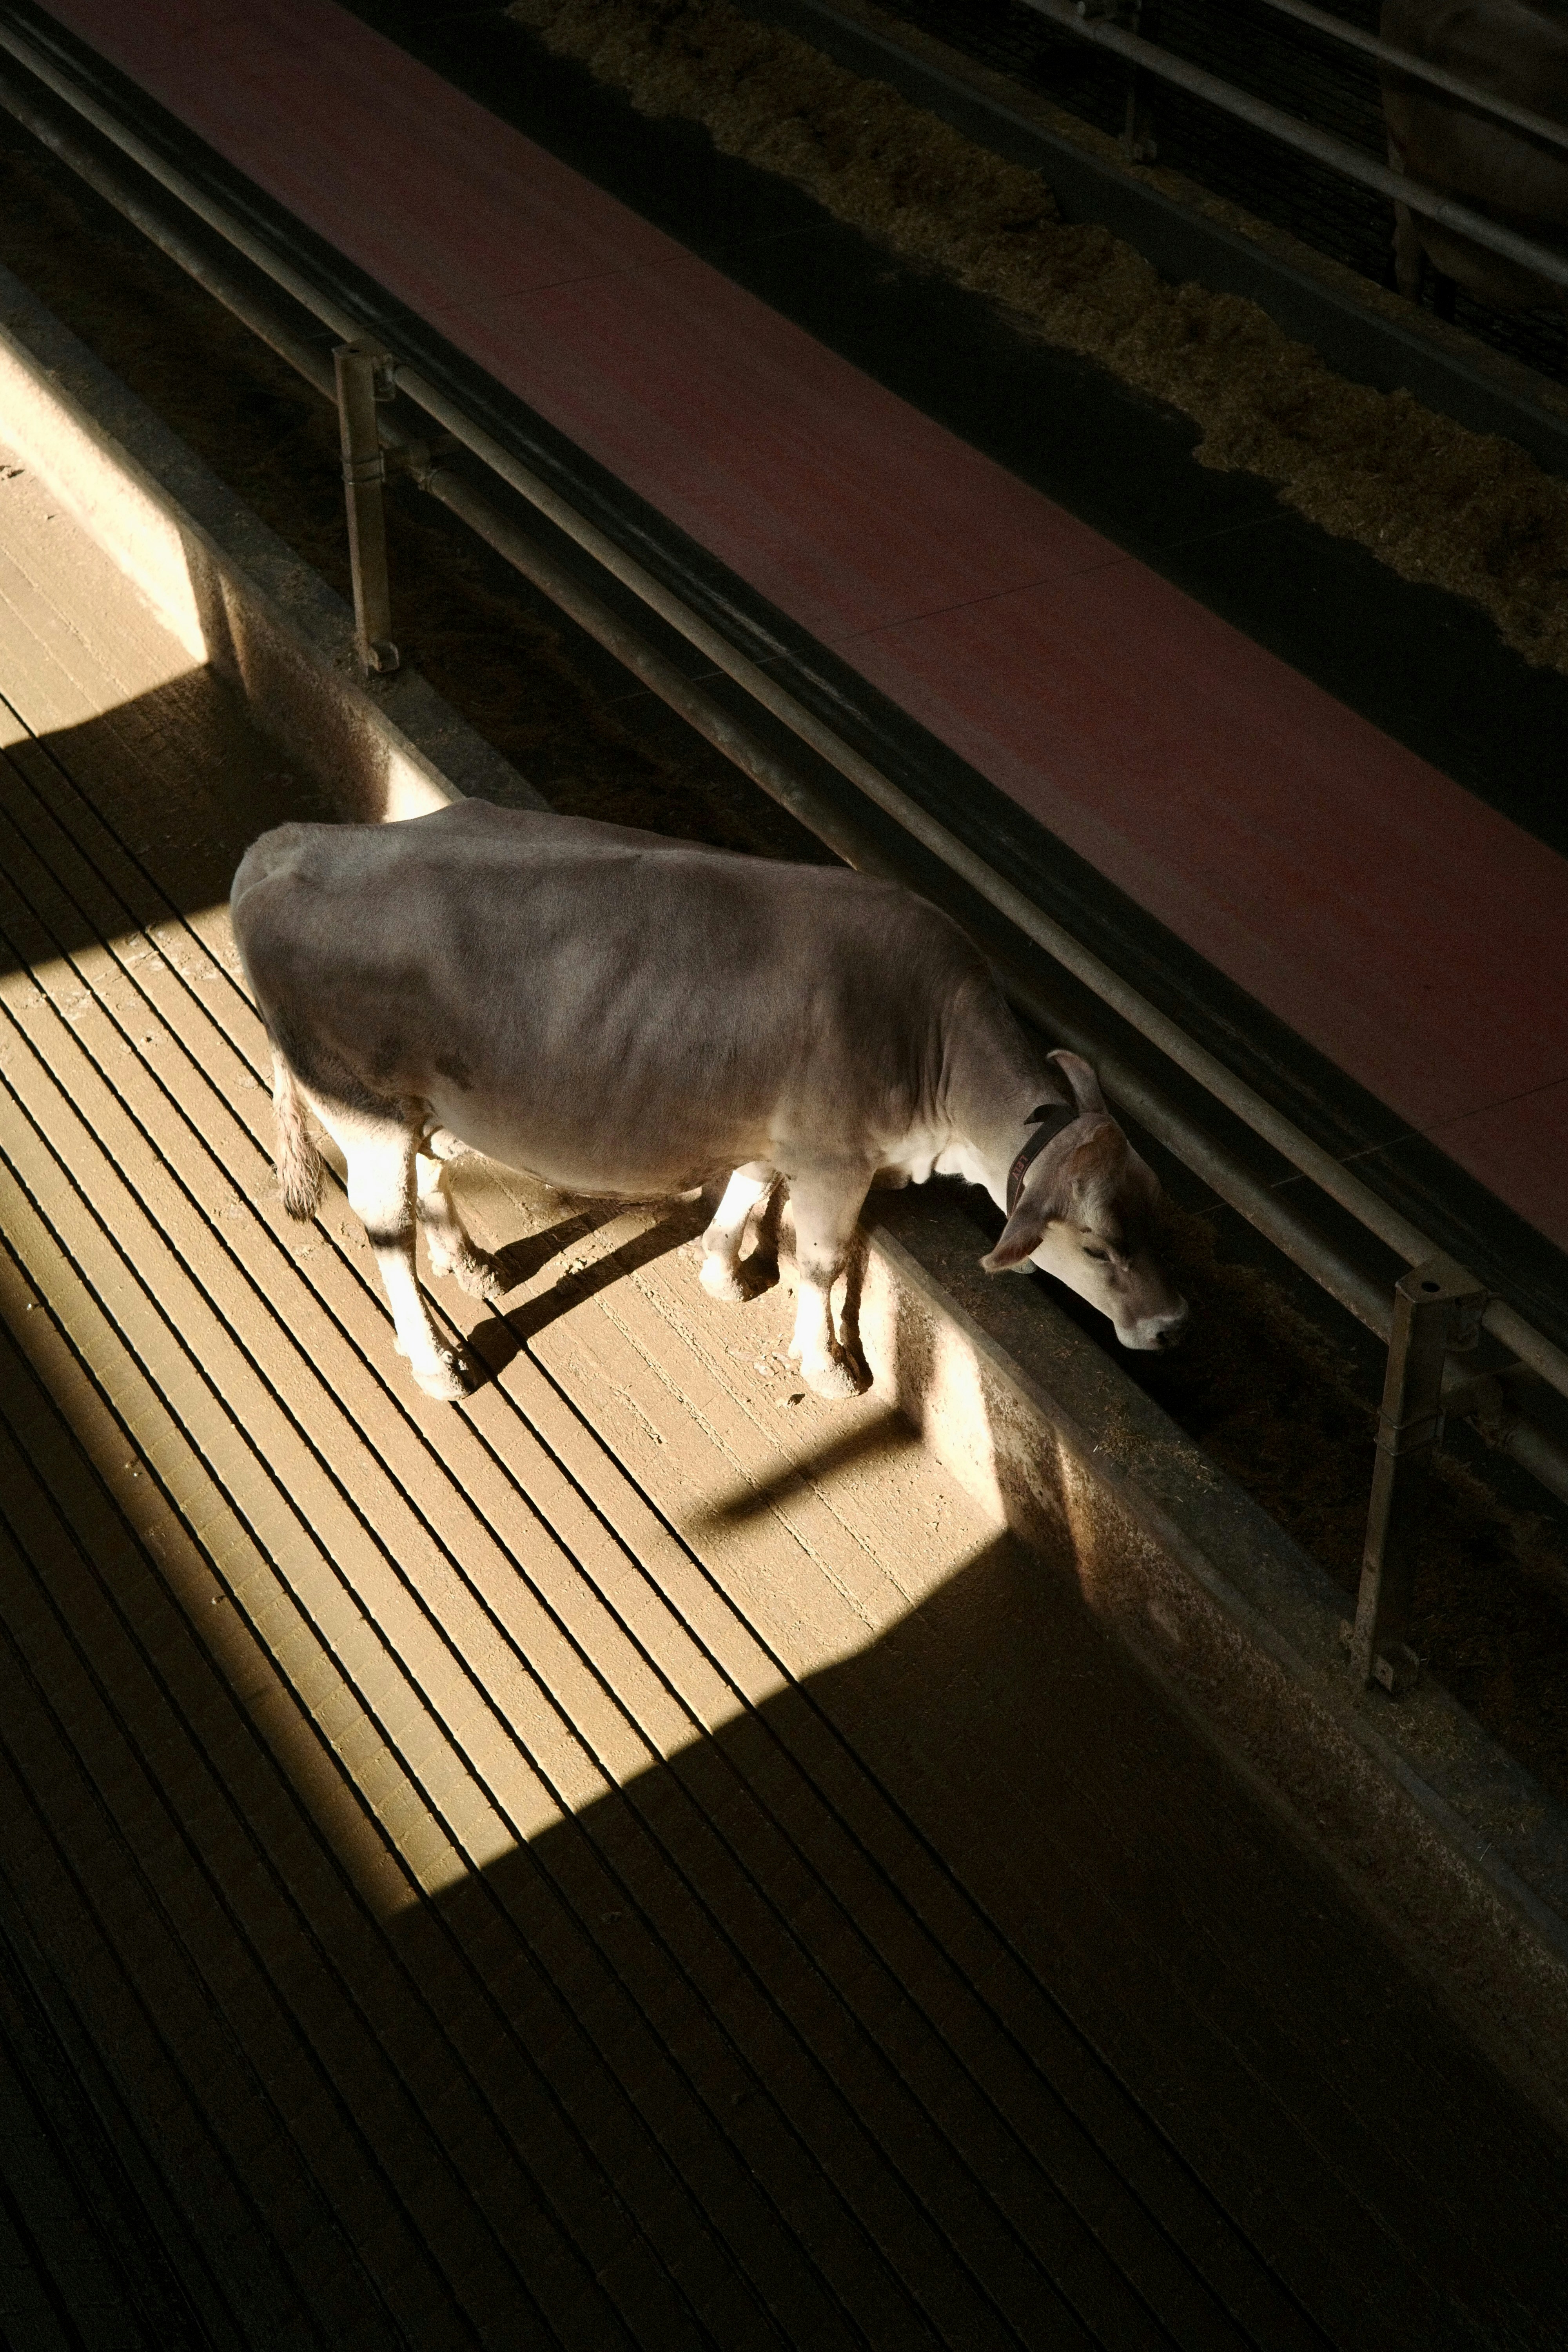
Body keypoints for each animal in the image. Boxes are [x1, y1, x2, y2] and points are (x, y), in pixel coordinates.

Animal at [231, 803, 1187, 1402]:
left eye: (1159, 1215)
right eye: (1098, 1245)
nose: (1172, 1326)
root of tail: (283, 847)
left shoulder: (780, 1133)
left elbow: (751, 1189)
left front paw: (725, 1269)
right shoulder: (837, 1162)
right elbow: (824, 1261)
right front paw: (829, 1364)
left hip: (417, 1099)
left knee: (427, 1172)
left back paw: (470, 1264)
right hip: (359, 1099)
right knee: (383, 1226)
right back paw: (436, 1362)